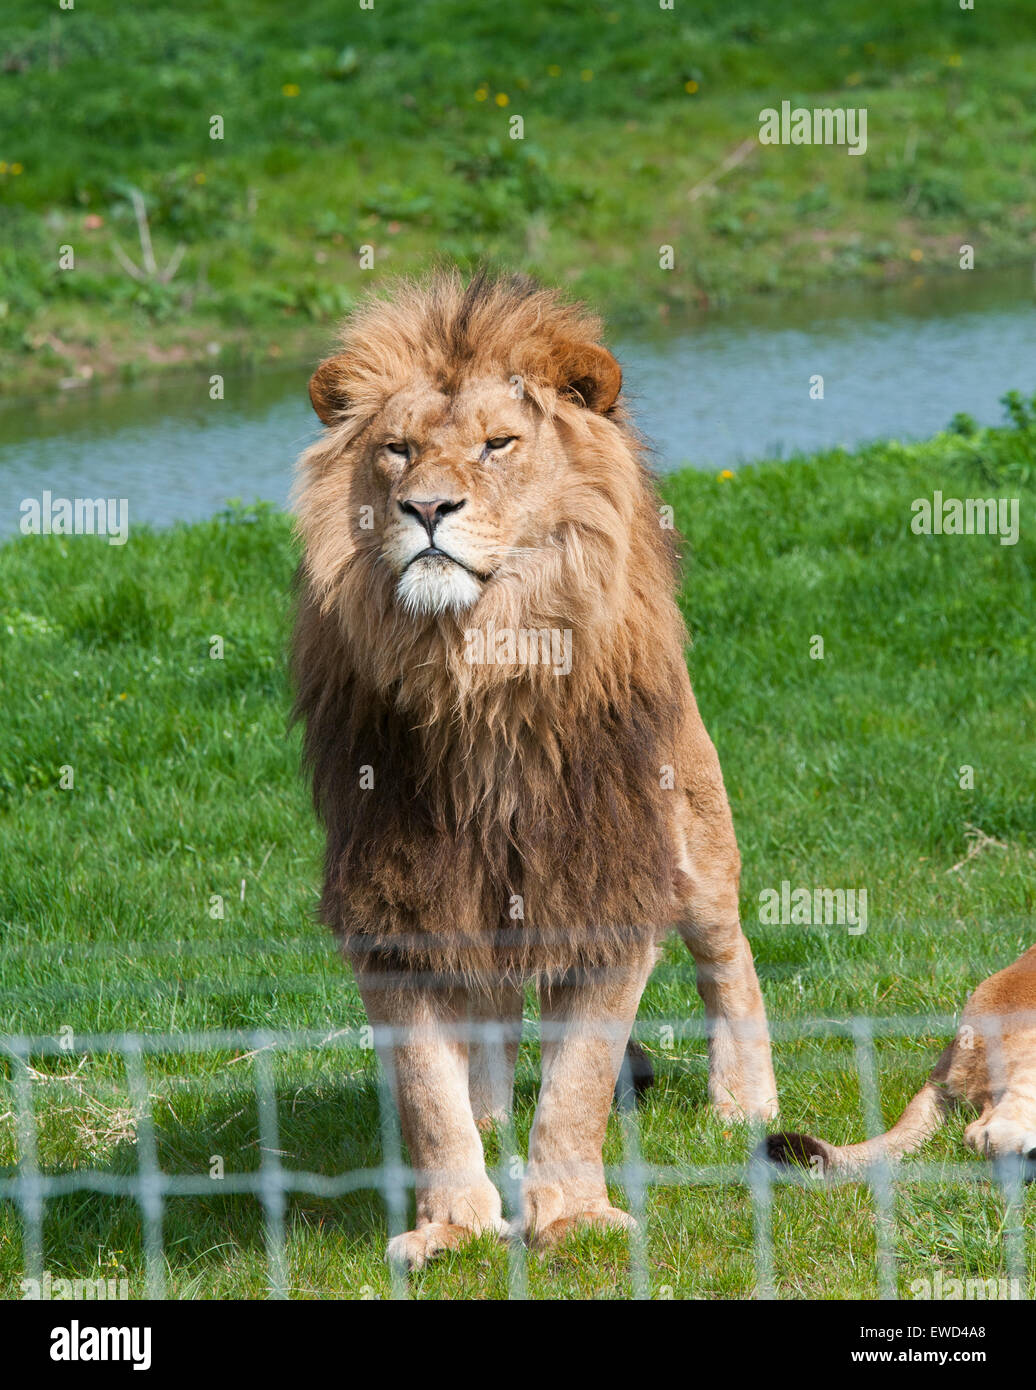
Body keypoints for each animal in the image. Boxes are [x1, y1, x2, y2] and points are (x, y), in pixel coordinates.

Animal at [291, 269, 778, 1271]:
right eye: (398, 451)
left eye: (497, 445)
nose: (426, 510)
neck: (477, 671)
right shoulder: (397, 906)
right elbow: (427, 1094)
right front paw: (453, 1226)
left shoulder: (607, 882)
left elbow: (581, 1083)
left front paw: (572, 1217)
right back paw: (490, 1112)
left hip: (695, 839)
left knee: (729, 957)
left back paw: (744, 1102)